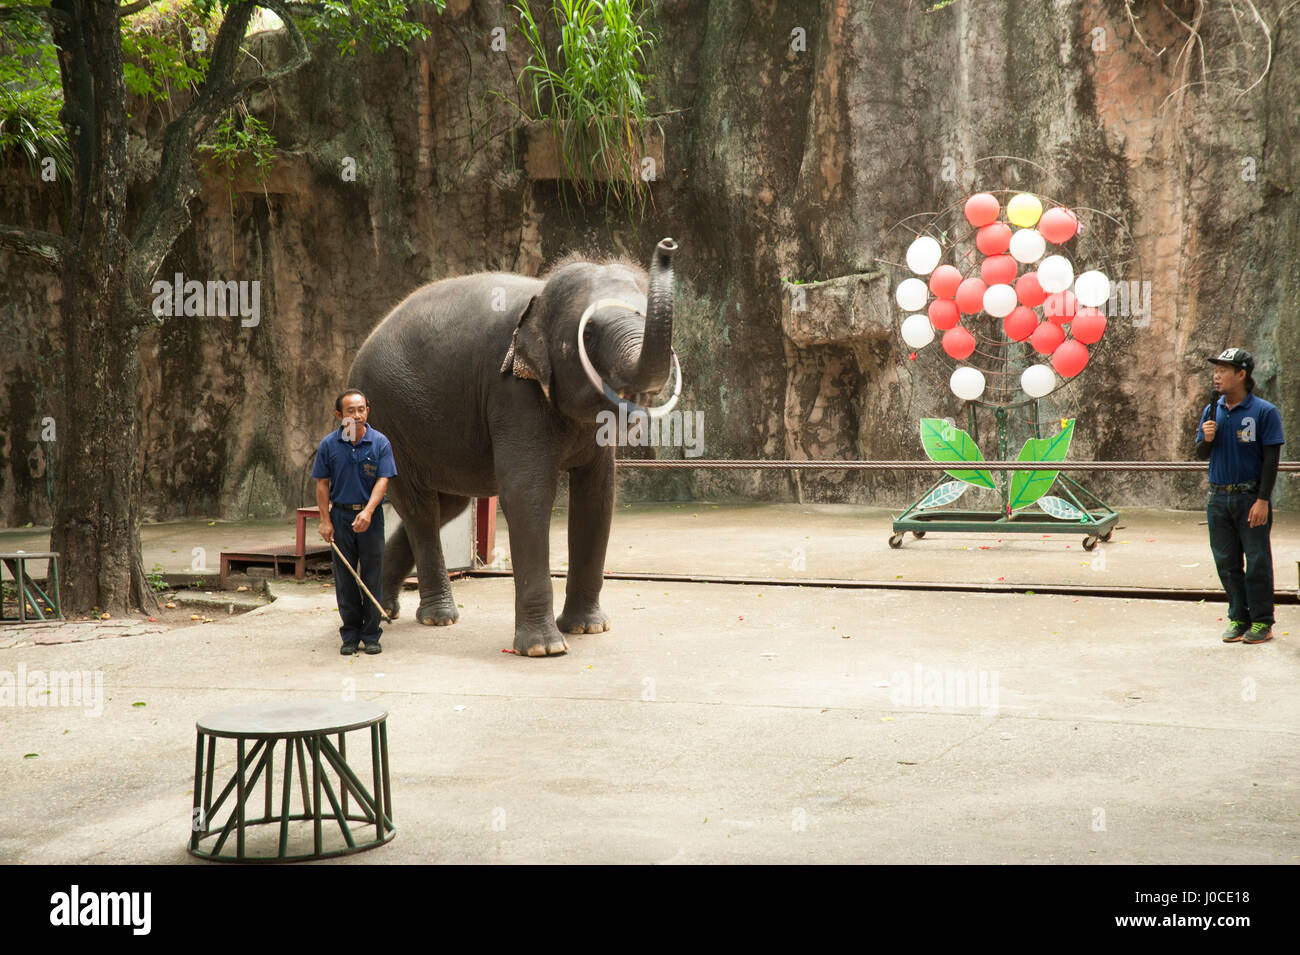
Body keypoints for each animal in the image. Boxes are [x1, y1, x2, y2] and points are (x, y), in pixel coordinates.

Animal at [347, 238, 680, 657]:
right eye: (588, 334)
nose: (668, 245)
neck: (541, 295)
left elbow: (598, 495)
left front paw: (588, 629)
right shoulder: (512, 390)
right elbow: (527, 493)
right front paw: (544, 650)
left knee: (445, 505)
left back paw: (384, 608)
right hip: (389, 421)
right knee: (420, 509)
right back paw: (438, 618)